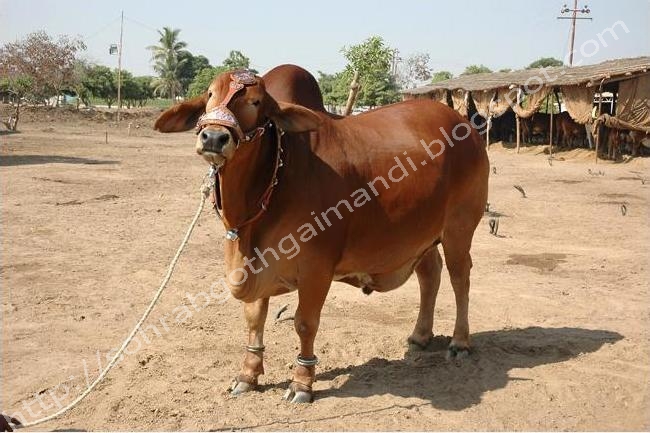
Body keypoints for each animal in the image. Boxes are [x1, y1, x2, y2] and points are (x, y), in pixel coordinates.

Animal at [154, 69, 489, 403]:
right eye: (210, 94)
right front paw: (248, 374)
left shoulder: (316, 267)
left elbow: (305, 323)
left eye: (256, 101)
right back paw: (420, 336)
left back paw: (460, 342)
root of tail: (466, 126)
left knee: (460, 278)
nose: (213, 137)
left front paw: (302, 382)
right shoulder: (258, 262)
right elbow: (253, 317)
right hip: (420, 234)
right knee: (430, 275)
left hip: (458, 229)